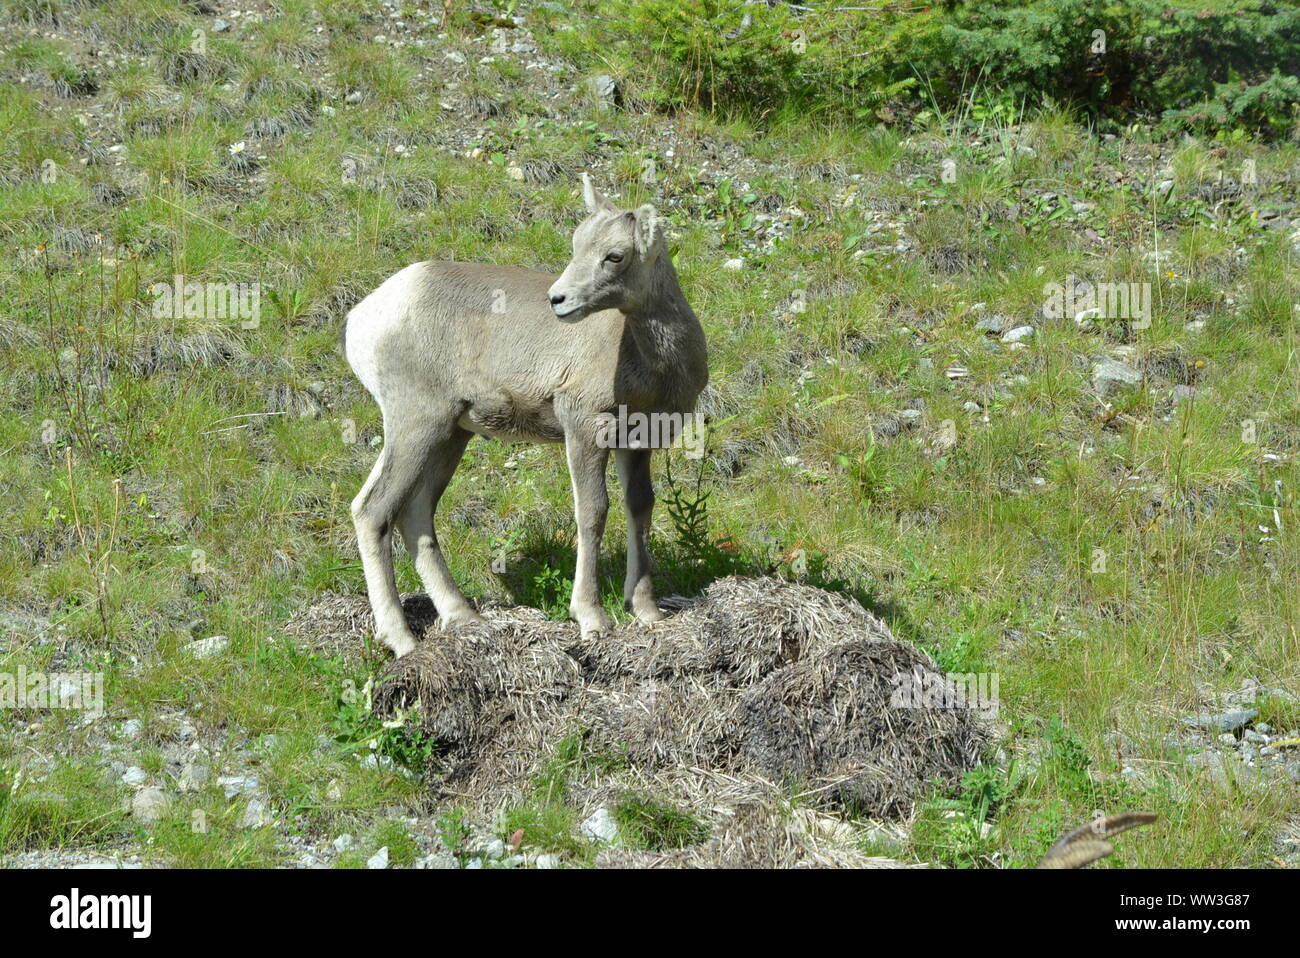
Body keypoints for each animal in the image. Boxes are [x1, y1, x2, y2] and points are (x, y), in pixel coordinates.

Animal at [344, 175, 708, 656]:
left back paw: (463, 617)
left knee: (414, 512)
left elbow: (640, 508)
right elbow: (593, 511)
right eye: (576, 244)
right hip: (417, 424)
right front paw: (592, 620)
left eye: (614, 255)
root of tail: (364, 317)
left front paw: (646, 611)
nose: (559, 300)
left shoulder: (637, 441)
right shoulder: (584, 427)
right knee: (374, 511)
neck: (651, 359)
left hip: (450, 435)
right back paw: (403, 642)